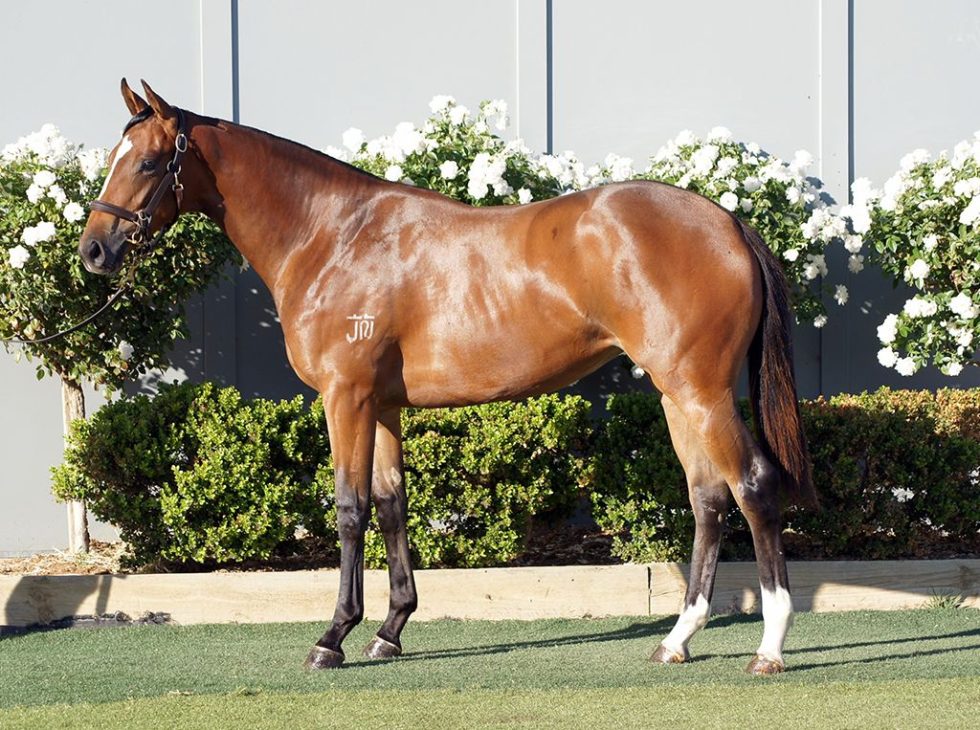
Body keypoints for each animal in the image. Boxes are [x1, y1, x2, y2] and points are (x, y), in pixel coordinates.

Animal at [80, 79, 815, 675]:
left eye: (148, 162)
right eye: (116, 156)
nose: (93, 251)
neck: (331, 236)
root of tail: (727, 223)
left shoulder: (345, 398)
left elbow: (349, 510)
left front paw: (332, 637)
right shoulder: (381, 405)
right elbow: (391, 504)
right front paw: (389, 631)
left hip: (701, 392)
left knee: (753, 486)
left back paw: (771, 647)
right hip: (676, 395)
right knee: (709, 498)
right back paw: (676, 640)